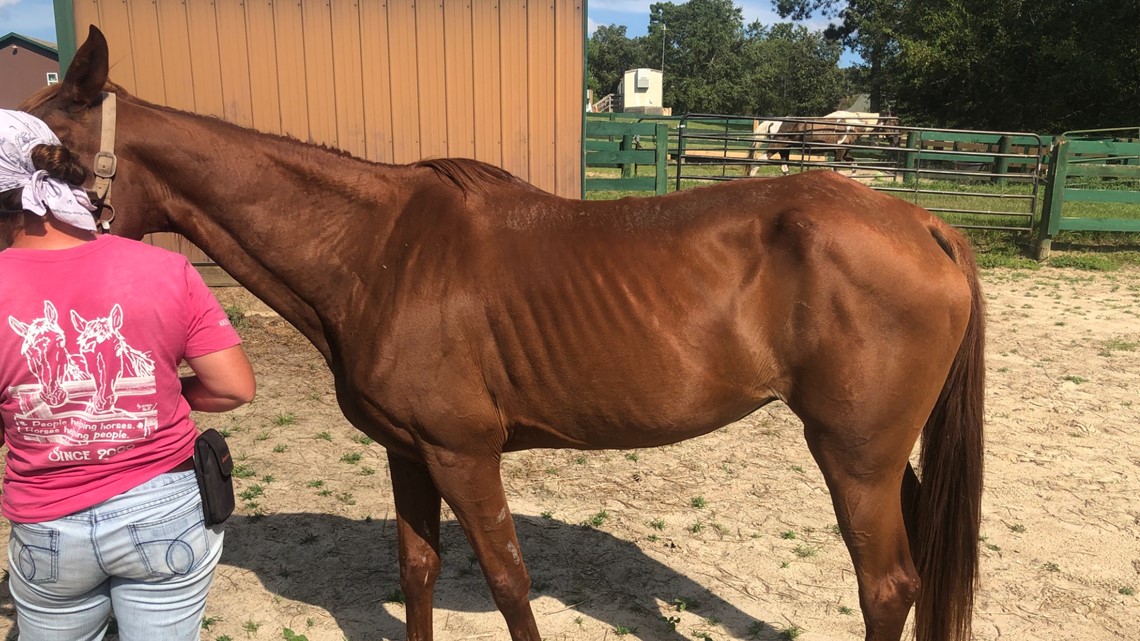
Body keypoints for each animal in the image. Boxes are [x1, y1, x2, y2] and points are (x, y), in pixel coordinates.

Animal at [24, 26, 984, 641]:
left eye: (44, 155)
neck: (377, 252)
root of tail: (919, 221)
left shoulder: (463, 453)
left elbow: (511, 581)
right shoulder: (408, 453)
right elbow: (416, 570)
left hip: (851, 455)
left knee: (885, 584)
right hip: (880, 455)